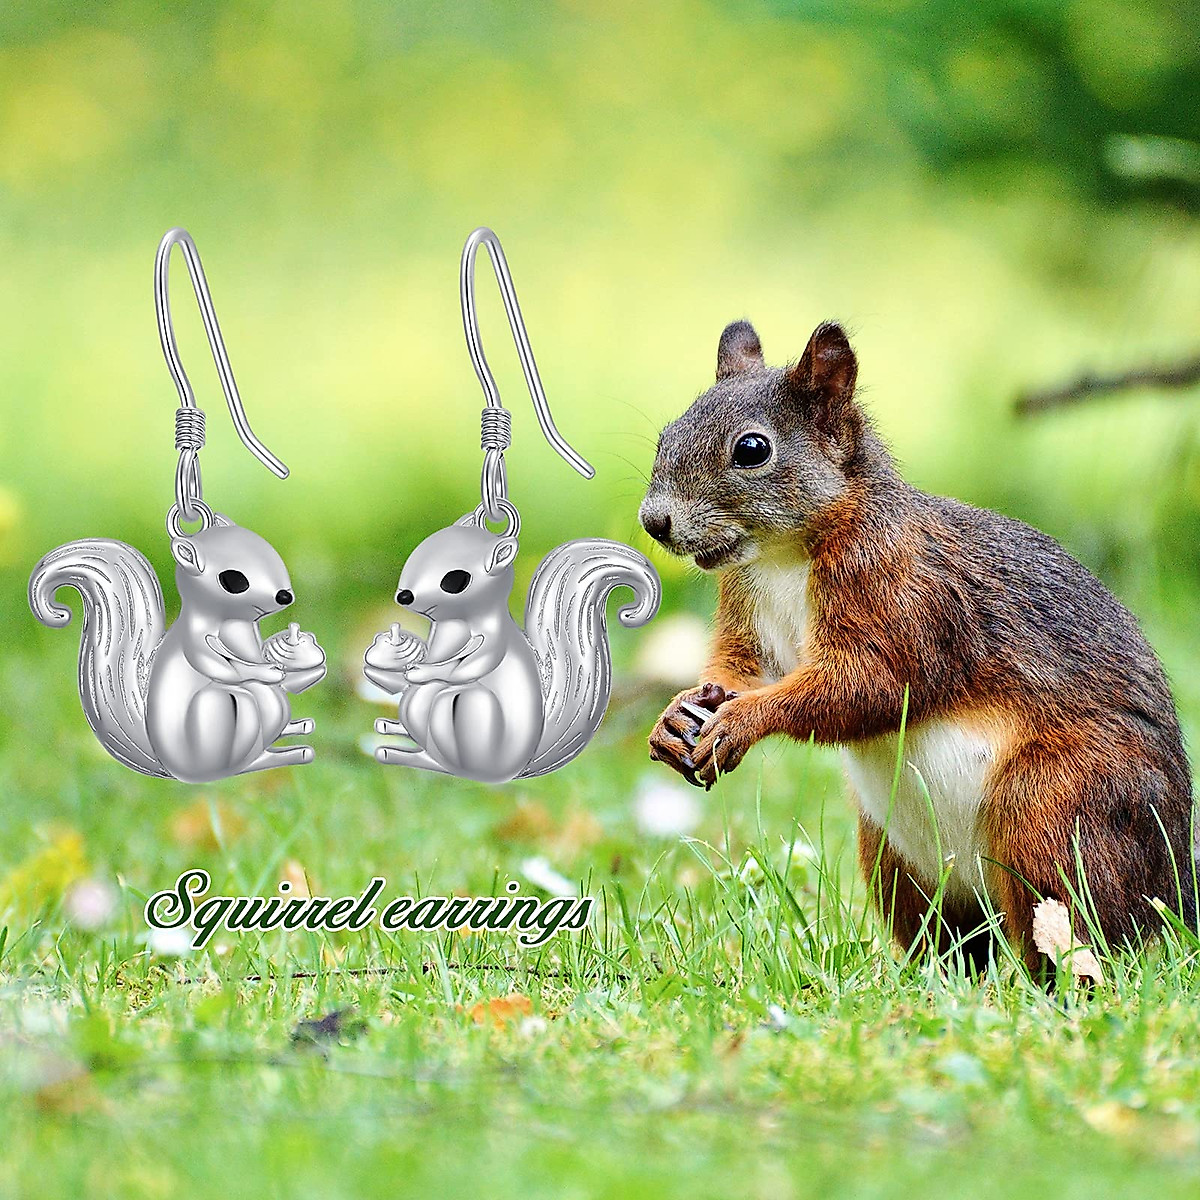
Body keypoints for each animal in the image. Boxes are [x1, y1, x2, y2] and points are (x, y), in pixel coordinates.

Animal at [29, 515, 327, 782]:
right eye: (233, 580)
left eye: (273, 555)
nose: (284, 597)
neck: (233, 621)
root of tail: (175, 770)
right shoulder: (195, 642)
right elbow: (221, 666)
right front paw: (268, 671)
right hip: (225, 709)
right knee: (244, 762)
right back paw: (285, 752)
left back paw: (297, 727)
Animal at [364, 510, 660, 783]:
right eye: (416, 554)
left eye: (455, 580)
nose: (404, 596)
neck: (455, 621)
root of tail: (513, 771)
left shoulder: (493, 642)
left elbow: (469, 666)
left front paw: (421, 671)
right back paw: (392, 727)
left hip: (464, 709)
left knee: (446, 763)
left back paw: (404, 752)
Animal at [640, 317, 1197, 967]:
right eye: (666, 434)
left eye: (752, 450)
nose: (654, 521)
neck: (784, 554)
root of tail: (1172, 883)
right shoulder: (746, 607)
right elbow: (739, 668)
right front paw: (677, 716)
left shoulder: (902, 596)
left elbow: (871, 685)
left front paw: (742, 719)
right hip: (895, 860)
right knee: (954, 941)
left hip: (1056, 810)